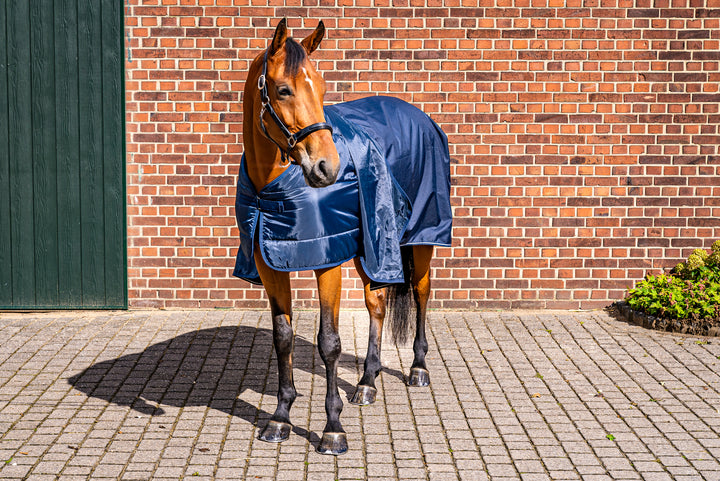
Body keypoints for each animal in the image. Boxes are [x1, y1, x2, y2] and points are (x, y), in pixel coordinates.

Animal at [234, 18, 452, 455]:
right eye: (283, 89)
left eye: (321, 87)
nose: (327, 168)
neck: (272, 186)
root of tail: (420, 116)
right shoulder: (270, 263)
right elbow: (283, 337)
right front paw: (280, 417)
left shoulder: (327, 261)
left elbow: (329, 342)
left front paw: (333, 428)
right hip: (371, 247)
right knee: (377, 303)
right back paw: (367, 382)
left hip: (421, 237)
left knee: (421, 292)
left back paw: (418, 368)